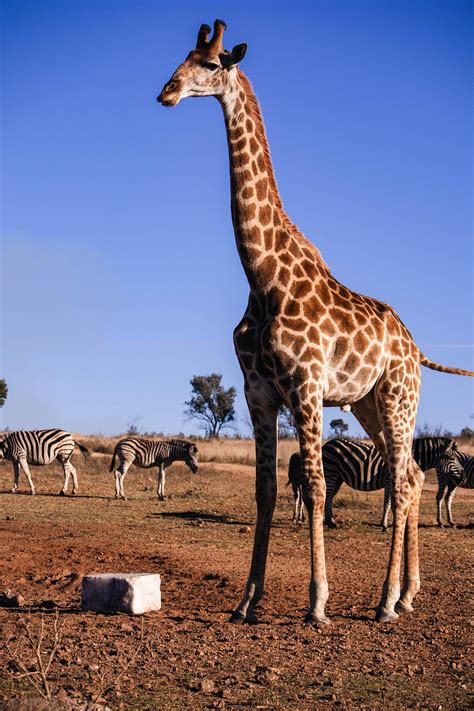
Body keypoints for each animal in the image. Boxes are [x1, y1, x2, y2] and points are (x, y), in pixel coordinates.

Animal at [288, 436, 456, 530]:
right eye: (452, 458)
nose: (458, 477)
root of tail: (325, 445)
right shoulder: (389, 479)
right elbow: (388, 502)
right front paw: (385, 525)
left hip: (337, 477)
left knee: (328, 497)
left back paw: (326, 520)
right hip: (331, 472)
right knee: (327, 496)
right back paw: (329, 522)